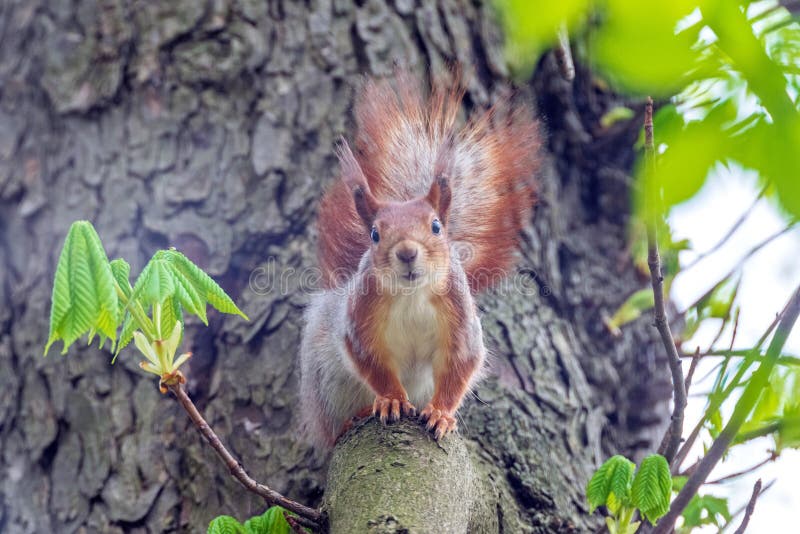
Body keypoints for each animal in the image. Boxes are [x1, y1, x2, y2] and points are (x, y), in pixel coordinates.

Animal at [300, 71, 541, 449]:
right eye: (374, 234)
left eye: (436, 226)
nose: (407, 252)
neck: (411, 294)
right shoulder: (360, 316)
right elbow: (372, 361)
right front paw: (392, 399)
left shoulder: (459, 313)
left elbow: (461, 364)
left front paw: (441, 414)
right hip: (323, 384)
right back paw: (354, 418)